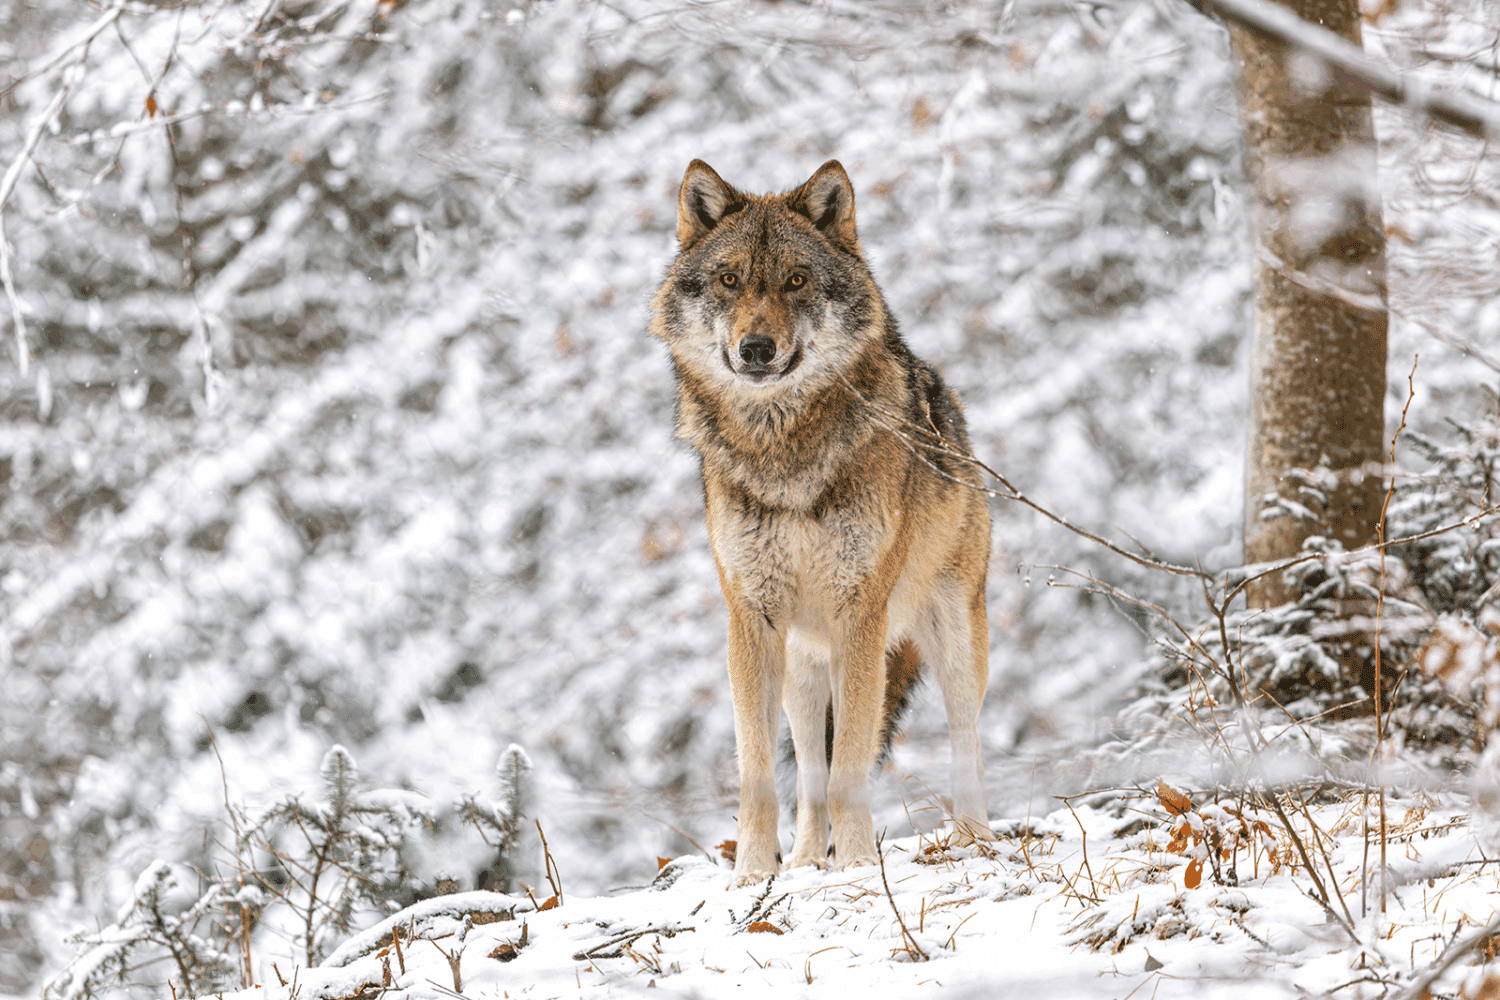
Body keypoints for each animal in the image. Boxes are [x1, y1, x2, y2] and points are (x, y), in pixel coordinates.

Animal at [649, 159, 994, 886]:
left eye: (796, 280)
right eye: (730, 280)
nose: (756, 348)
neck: (784, 450)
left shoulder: (860, 616)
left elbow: (851, 768)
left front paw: (859, 865)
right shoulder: (750, 620)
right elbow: (762, 776)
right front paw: (754, 875)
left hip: (952, 637)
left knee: (965, 733)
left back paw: (974, 838)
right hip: (802, 670)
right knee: (808, 764)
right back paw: (807, 860)